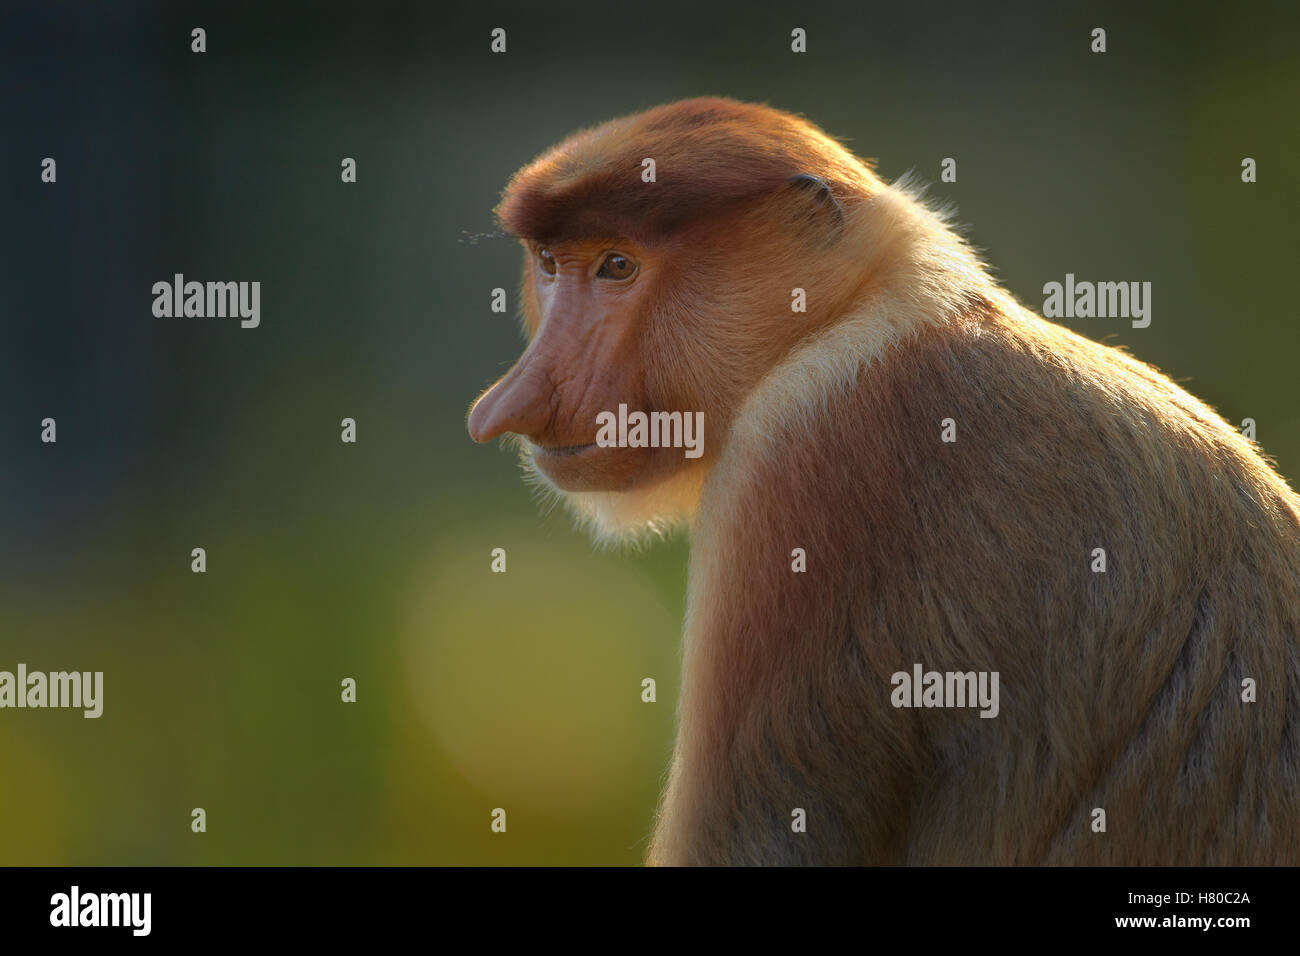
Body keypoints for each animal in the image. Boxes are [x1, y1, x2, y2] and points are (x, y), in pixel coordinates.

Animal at [467, 97, 1300, 865]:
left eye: (617, 266)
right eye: (550, 264)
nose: (504, 405)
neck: (856, 314)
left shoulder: (804, 457)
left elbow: (770, 835)